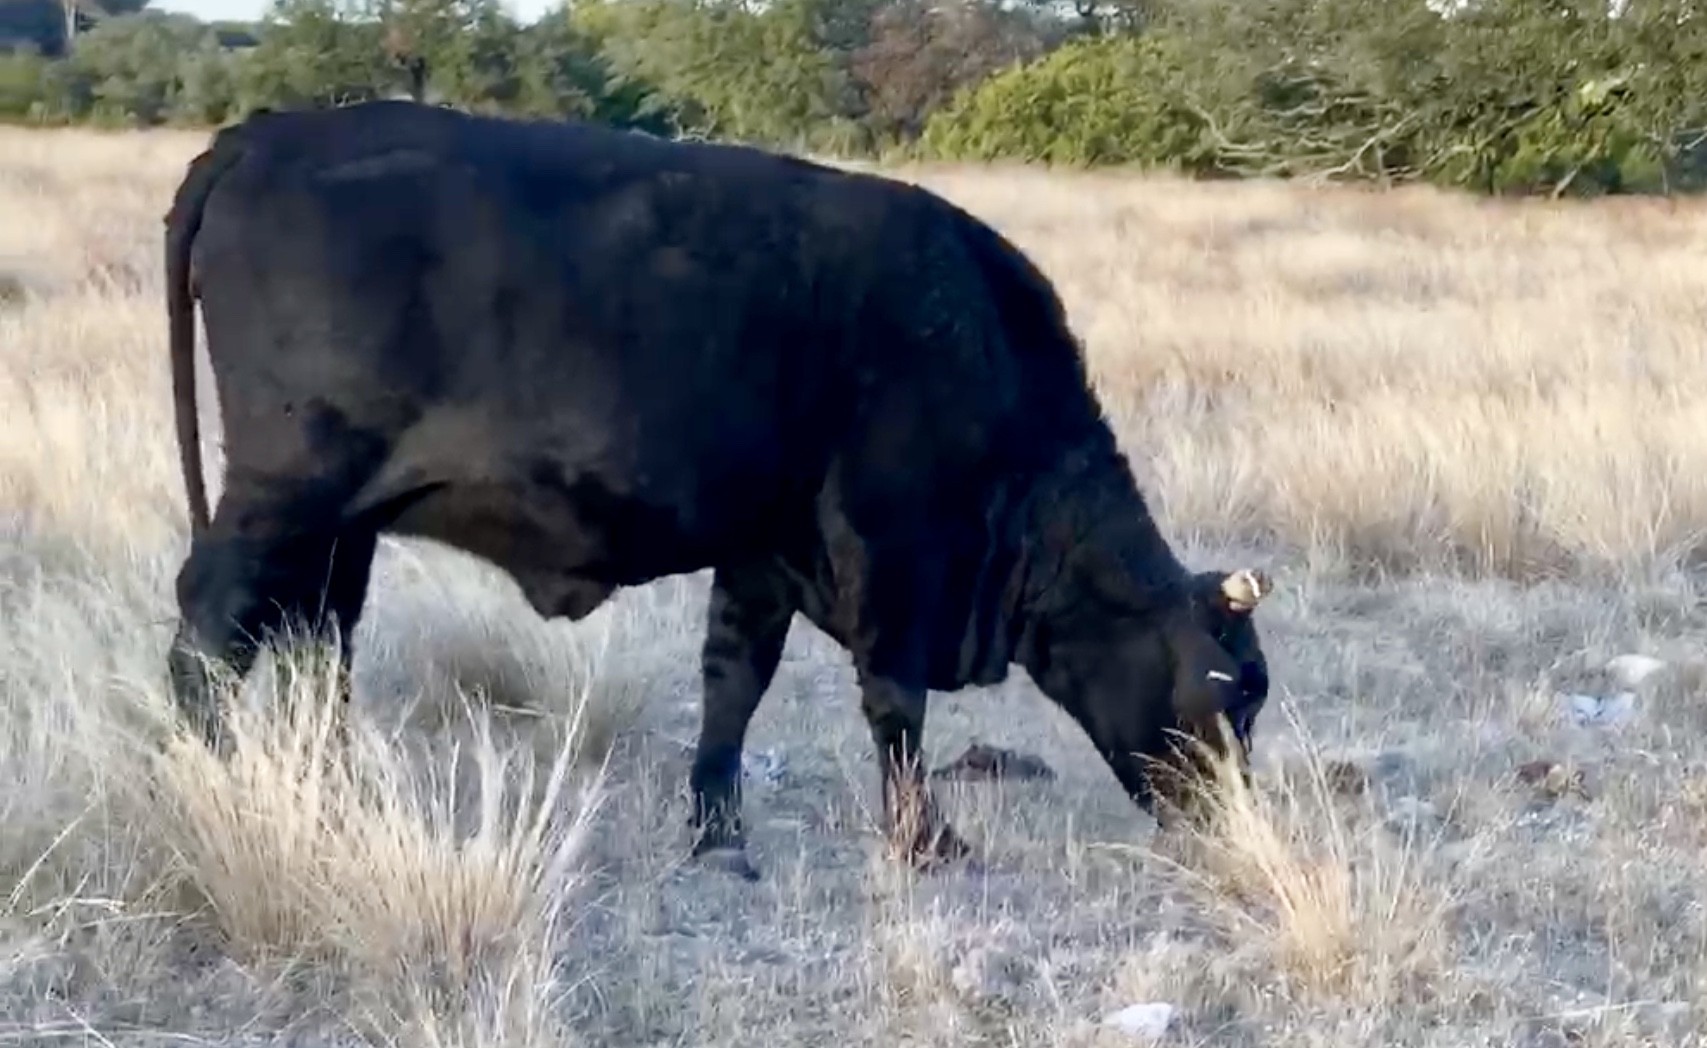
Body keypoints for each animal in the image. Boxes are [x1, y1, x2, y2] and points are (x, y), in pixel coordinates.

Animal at [161, 100, 1274, 880]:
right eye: (1231, 687)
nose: (1236, 821)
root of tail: (265, 135)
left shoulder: (762, 554)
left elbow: (734, 685)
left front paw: (717, 831)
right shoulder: (892, 554)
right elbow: (895, 707)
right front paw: (926, 841)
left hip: (339, 527)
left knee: (316, 643)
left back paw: (334, 786)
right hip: (281, 498)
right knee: (213, 632)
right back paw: (202, 776)